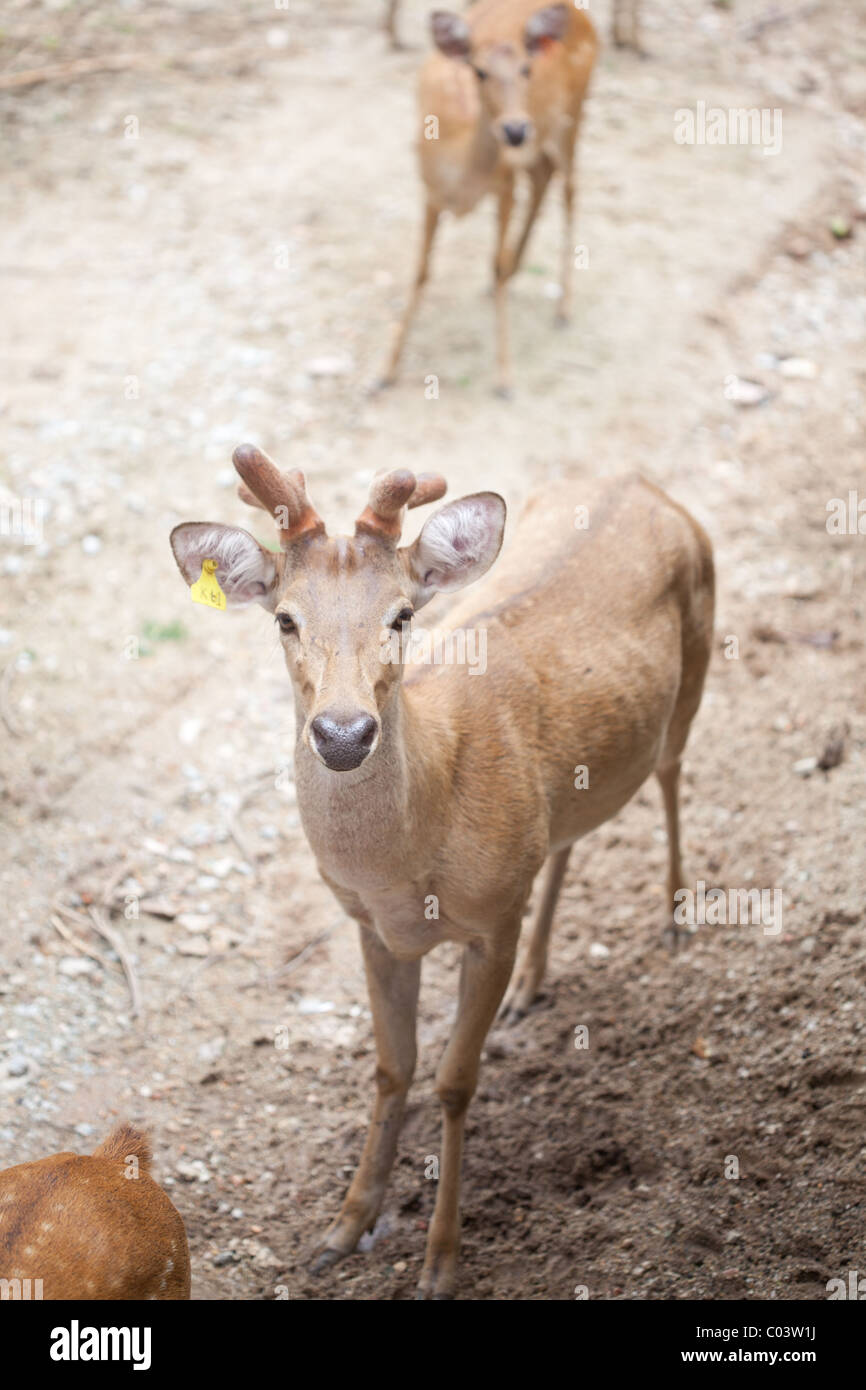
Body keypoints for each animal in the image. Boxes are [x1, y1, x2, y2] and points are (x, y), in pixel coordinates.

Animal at [170, 445, 714, 1299]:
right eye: (285, 617)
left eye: (401, 615)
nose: (343, 732)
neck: (408, 867)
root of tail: (646, 484)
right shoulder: (371, 929)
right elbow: (393, 1068)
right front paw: (342, 1229)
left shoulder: (490, 920)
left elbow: (456, 1081)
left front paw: (440, 1261)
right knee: (569, 835)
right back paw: (535, 984)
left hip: (696, 666)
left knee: (670, 774)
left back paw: (675, 920)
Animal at [380, 2, 597, 397]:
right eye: (479, 71)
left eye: (526, 68)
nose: (515, 129)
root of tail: (580, 13)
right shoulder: (429, 193)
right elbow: (421, 271)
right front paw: (385, 371)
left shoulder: (505, 184)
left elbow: (494, 263)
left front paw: (504, 378)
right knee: (544, 175)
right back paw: (517, 272)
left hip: (572, 113)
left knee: (570, 188)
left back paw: (562, 308)